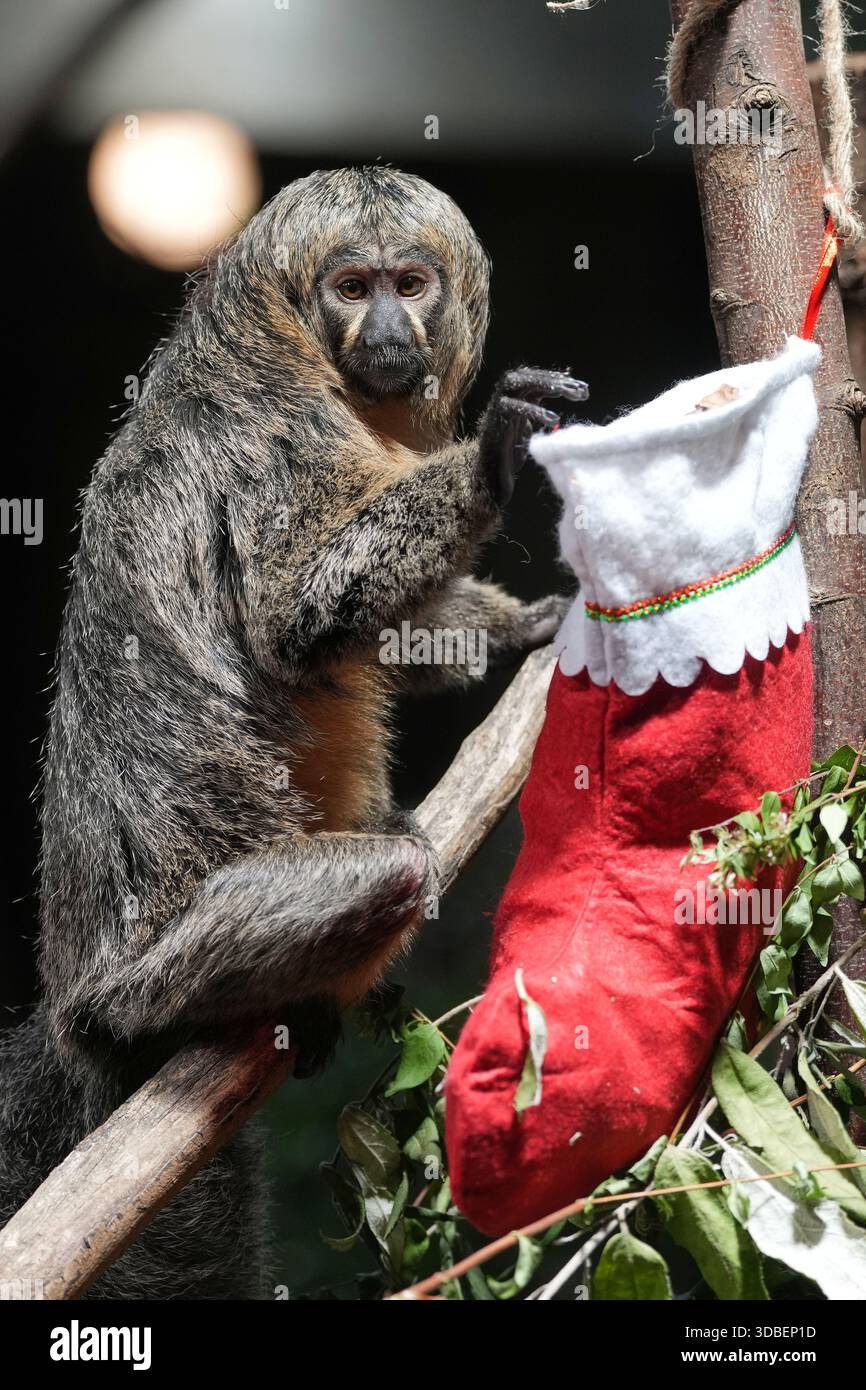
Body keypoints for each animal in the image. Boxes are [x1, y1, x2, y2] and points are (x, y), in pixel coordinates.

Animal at [0, 166, 586, 1300]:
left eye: (410, 281)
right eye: (352, 288)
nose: (391, 327)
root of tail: (77, 1000)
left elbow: (393, 637)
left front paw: (521, 626)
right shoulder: (277, 436)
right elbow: (296, 612)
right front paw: (491, 463)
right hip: (155, 967)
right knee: (390, 875)